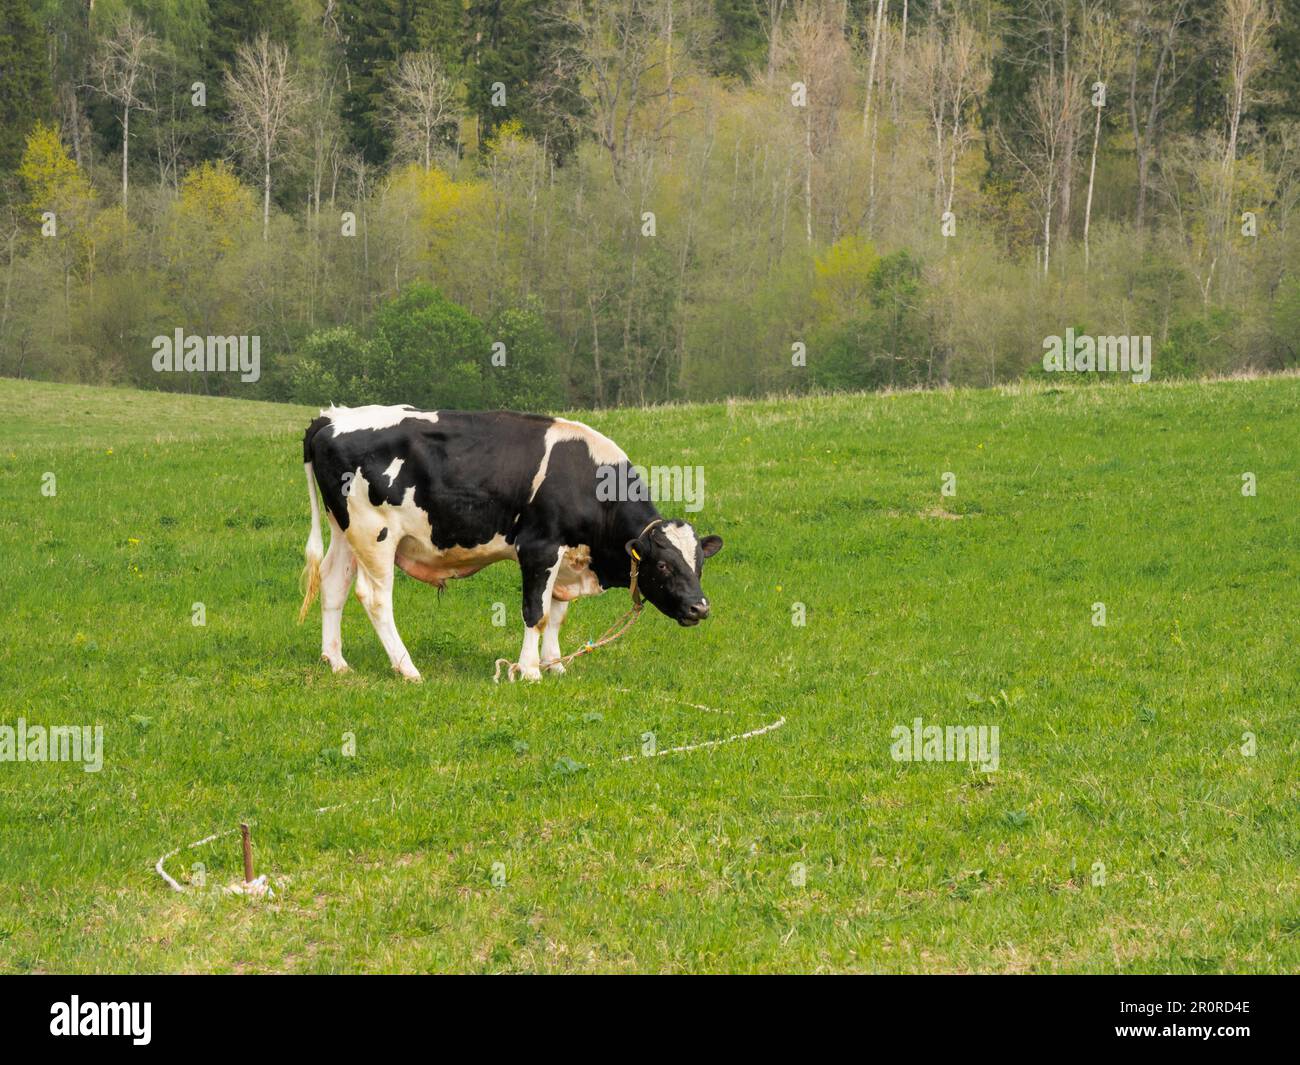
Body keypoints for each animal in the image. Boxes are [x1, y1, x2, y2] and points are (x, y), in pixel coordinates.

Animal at [297, 404, 724, 682]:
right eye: (664, 565)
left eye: (699, 565)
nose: (700, 607)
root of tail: (331, 418)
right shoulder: (539, 548)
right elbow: (536, 613)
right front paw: (530, 670)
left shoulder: (567, 558)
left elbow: (557, 614)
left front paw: (555, 664)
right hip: (375, 533)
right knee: (375, 597)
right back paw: (407, 668)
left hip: (345, 530)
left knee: (333, 584)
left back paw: (336, 660)